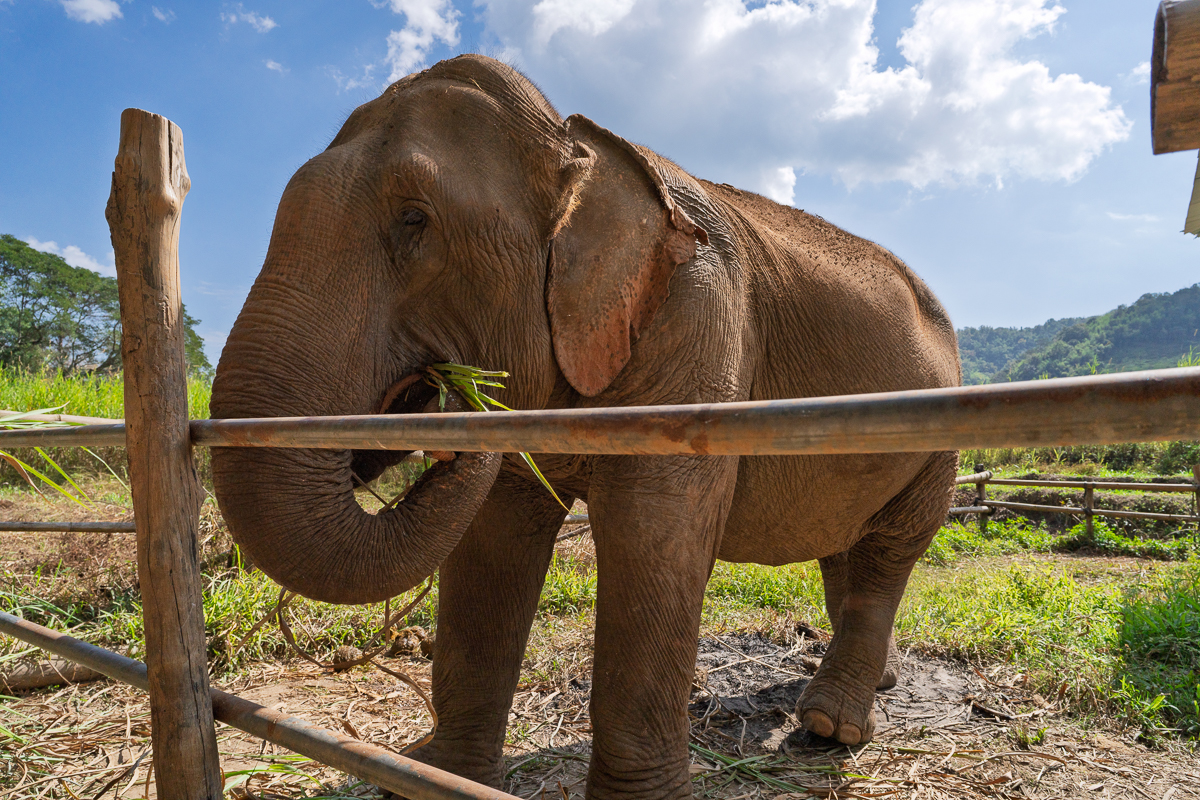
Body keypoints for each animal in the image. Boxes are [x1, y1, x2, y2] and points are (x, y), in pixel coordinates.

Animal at [209, 54, 960, 800]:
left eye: (414, 219)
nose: (455, 399)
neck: (578, 148)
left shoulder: (698, 322)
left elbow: (651, 530)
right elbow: (496, 533)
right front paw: (440, 776)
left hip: (937, 437)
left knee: (890, 551)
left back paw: (832, 726)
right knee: (846, 545)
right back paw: (875, 684)